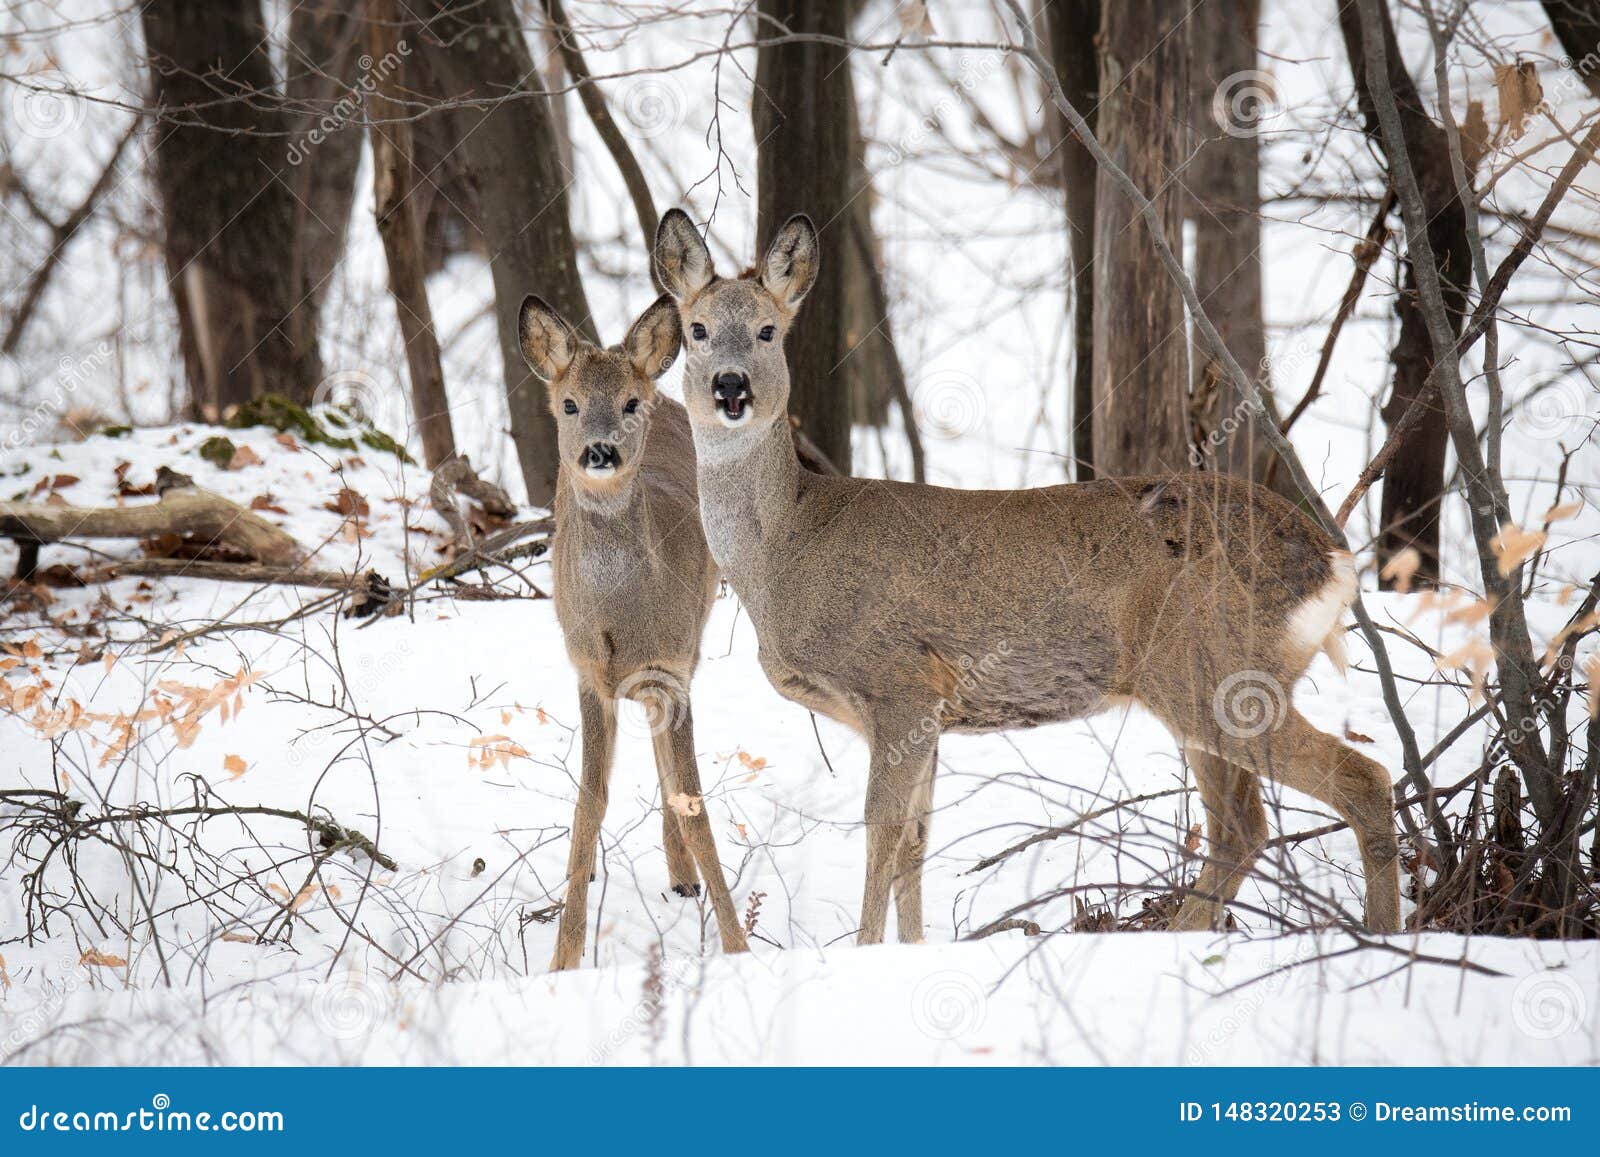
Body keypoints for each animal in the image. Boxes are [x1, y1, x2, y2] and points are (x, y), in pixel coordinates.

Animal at [518, 291, 749, 970]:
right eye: (570, 404)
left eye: (628, 404)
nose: (599, 451)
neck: (623, 620)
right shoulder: (589, 675)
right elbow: (589, 798)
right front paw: (564, 956)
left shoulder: (671, 670)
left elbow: (694, 801)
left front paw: (737, 945)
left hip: (694, 636)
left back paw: (684, 876)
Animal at [650, 207, 1402, 943]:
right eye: (697, 330)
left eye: (768, 330)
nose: (730, 386)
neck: (783, 550)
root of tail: (1330, 561)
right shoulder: (930, 712)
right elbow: (917, 842)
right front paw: (912, 952)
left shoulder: (897, 682)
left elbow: (881, 832)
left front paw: (865, 954)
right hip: (1203, 683)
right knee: (1243, 826)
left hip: (1215, 673)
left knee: (1360, 779)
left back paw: (1386, 935)